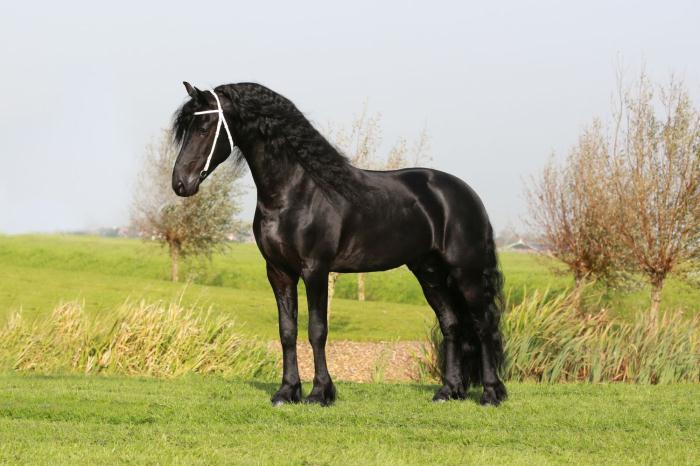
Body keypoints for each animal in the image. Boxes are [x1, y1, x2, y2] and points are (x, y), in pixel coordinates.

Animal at [171, 82, 507, 407]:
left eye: (204, 128)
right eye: (184, 129)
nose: (180, 183)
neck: (297, 192)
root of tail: (465, 193)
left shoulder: (316, 270)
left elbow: (317, 330)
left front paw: (320, 393)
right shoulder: (279, 272)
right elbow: (287, 331)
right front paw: (286, 392)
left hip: (466, 273)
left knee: (483, 325)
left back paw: (491, 394)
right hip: (430, 273)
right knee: (451, 323)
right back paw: (448, 391)